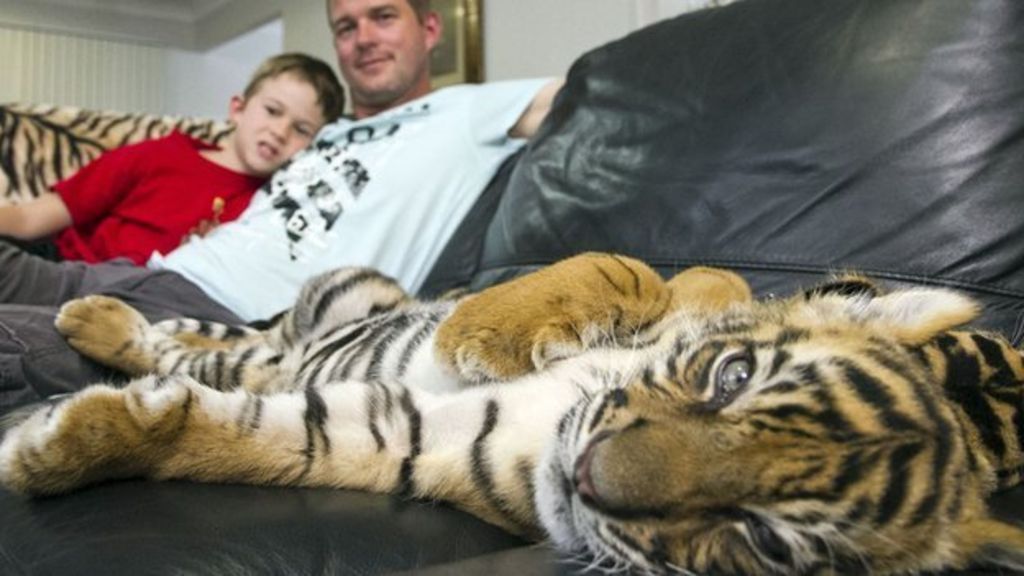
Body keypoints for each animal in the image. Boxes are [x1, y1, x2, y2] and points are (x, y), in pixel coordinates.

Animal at [2, 251, 1024, 575]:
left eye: (762, 540)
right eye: (731, 376)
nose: (590, 477)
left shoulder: (410, 440)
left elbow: (252, 441)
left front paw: (55, 448)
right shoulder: (691, 293)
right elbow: (659, 273)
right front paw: (479, 330)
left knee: (227, 365)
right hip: (348, 290)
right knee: (220, 340)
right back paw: (91, 317)